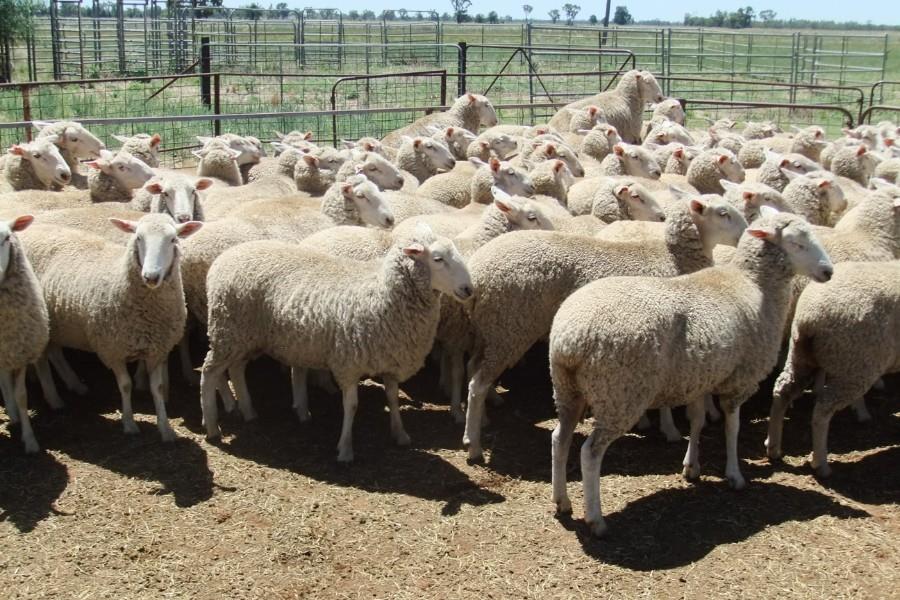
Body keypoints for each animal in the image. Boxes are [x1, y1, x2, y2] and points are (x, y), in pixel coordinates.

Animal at [21, 214, 202, 441]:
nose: (150, 276)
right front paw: (129, 423)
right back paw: (54, 399)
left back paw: (75, 385)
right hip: (36, 323)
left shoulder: (157, 350)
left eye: (172, 239)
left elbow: (158, 388)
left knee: (55, 353)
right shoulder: (112, 350)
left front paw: (166, 429)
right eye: (138, 238)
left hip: (58, 325)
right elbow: (125, 385)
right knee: (42, 360)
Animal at [199, 223, 473, 462]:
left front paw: (400, 434)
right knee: (209, 373)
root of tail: (223, 258)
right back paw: (212, 427)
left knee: (236, 369)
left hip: (244, 337)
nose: (469, 289)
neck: (383, 294)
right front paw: (345, 449)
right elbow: (351, 406)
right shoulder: (348, 364)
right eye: (438, 259)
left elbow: (393, 398)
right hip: (227, 330)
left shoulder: (390, 360)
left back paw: (248, 412)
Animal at [461, 196, 749, 460]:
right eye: (723, 213)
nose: (746, 233)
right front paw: (670, 429)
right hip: (509, 328)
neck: (672, 257)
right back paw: (474, 447)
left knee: (473, 369)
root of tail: (477, 274)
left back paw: (475, 426)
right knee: (477, 384)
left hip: (491, 330)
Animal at [548, 212, 832, 536]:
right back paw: (596, 519)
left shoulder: (699, 378)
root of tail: (570, 339)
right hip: (619, 393)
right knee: (590, 453)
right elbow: (732, 428)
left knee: (559, 439)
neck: (755, 285)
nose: (829, 271)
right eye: (797, 243)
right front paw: (734, 475)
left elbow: (697, 422)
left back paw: (562, 501)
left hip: (568, 390)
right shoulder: (739, 380)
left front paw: (691, 467)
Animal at [768, 260, 900, 477]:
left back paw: (773, 447)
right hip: (855, 363)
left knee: (782, 391)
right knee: (822, 411)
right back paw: (820, 464)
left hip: (802, 356)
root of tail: (809, 318)